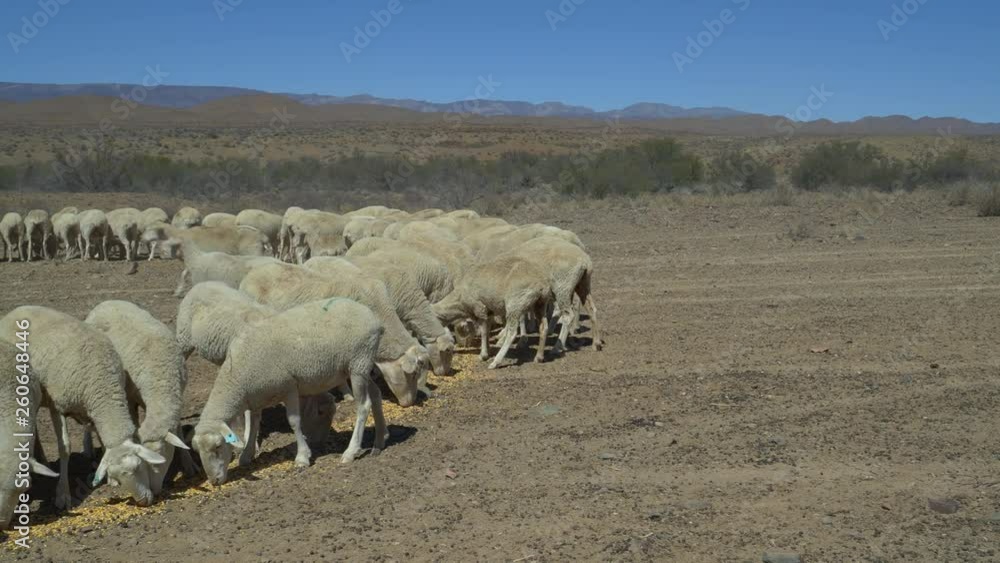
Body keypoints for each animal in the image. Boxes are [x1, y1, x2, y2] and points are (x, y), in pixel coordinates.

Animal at [0, 307, 167, 509]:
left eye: (138, 466)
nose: (143, 501)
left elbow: (103, 443)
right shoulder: (58, 405)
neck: (101, 379)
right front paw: (63, 494)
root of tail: (18, 310)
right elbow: (65, 447)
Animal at [84, 301, 194, 494]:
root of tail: (105, 303)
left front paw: (189, 464)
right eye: (142, 463)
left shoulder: (177, 398)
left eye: (164, 452)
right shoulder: (130, 398)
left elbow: (179, 432)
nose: (155, 490)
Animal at [192, 298, 388, 484]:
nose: (214, 481)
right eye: (197, 450)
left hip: (358, 364)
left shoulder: (289, 387)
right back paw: (380, 440)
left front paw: (302, 457)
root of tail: (371, 315)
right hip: (359, 367)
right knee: (376, 394)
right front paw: (247, 455)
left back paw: (350, 451)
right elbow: (254, 424)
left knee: (363, 406)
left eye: (218, 446)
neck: (237, 378)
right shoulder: (256, 399)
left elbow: (293, 421)